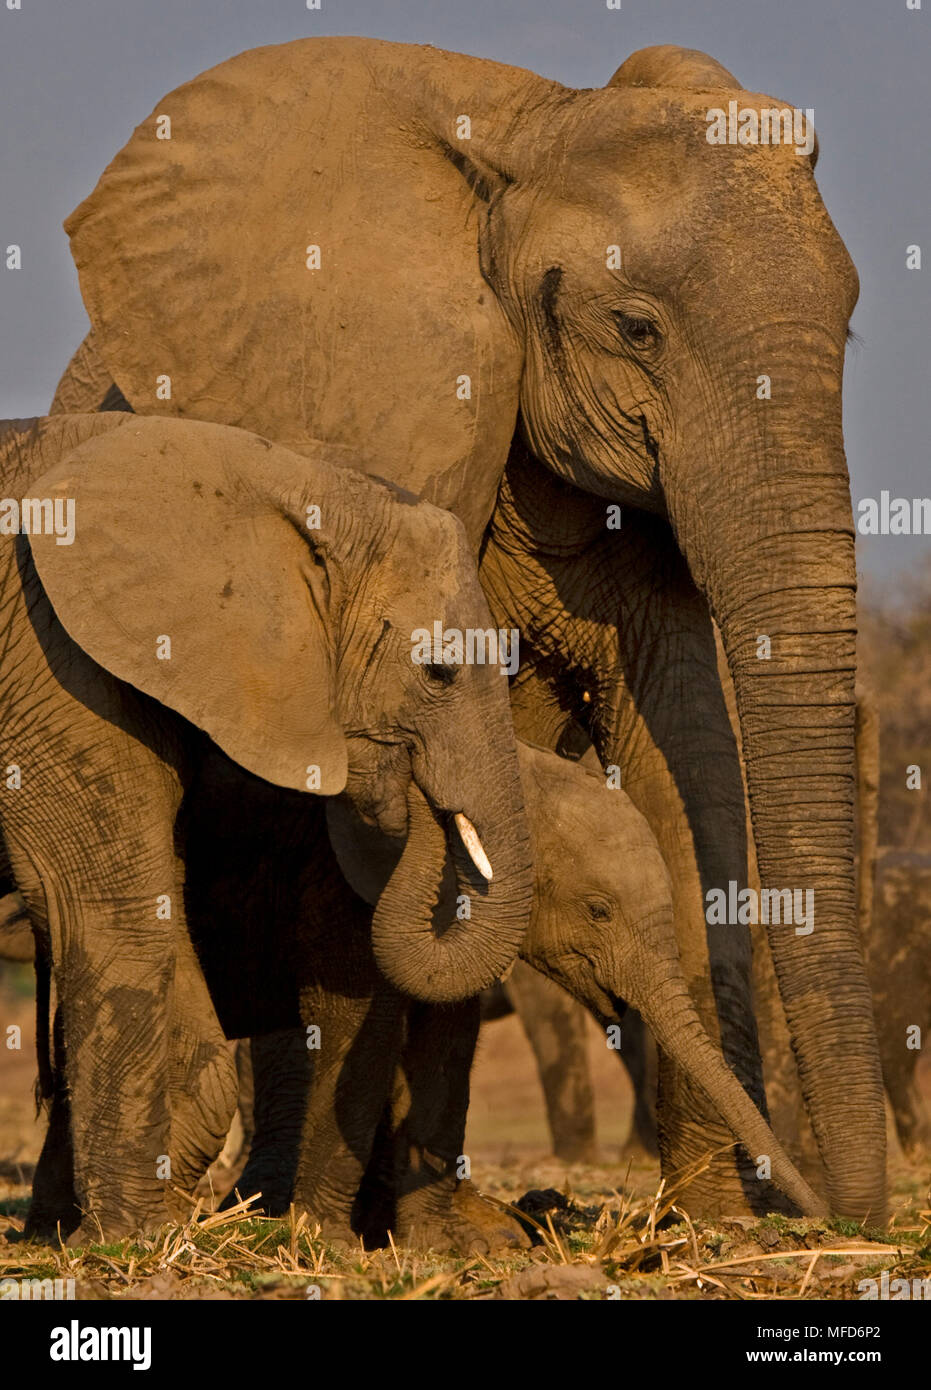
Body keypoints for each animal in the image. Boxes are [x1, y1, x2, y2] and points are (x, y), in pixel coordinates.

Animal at [0, 412, 532, 1242]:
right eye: (438, 671)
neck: (291, 481)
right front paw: (128, 1243)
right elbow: (111, 911)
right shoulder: (49, 653)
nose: (407, 790)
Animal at [49, 36, 883, 1220]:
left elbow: (687, 775)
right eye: (635, 329)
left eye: (848, 326)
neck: (534, 132)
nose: (860, 1222)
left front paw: (715, 1226)